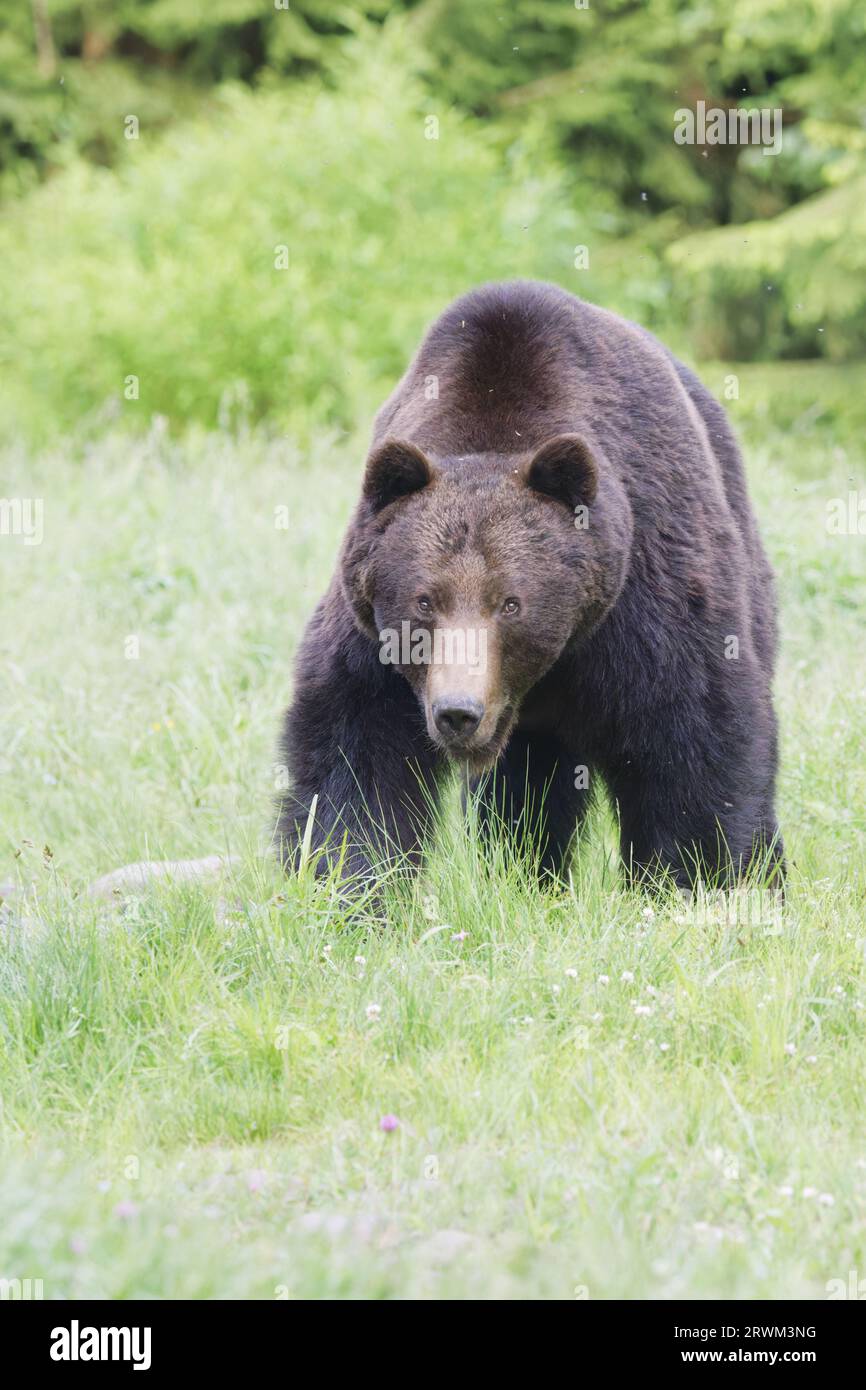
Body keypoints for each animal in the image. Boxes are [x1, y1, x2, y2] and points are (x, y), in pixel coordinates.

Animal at [278, 279, 783, 893]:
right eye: (425, 601)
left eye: (510, 603)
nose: (458, 711)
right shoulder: (370, 635)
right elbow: (354, 756)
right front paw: (350, 884)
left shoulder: (646, 597)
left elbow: (691, 735)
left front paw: (691, 879)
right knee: (523, 791)